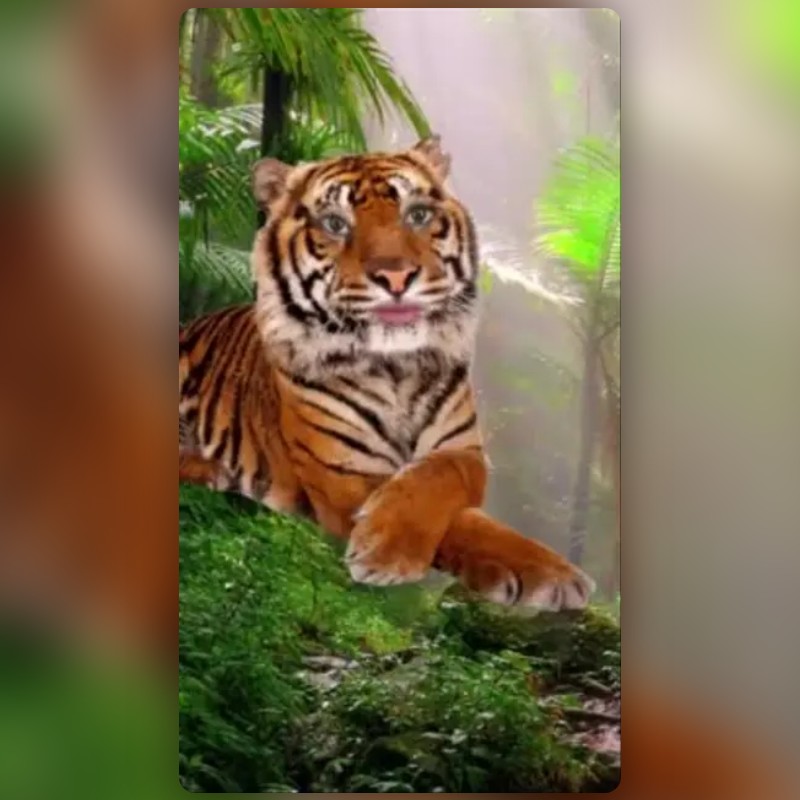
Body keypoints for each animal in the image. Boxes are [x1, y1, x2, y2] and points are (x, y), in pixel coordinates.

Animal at [179, 135, 595, 610]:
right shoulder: (345, 476)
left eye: (417, 215)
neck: (397, 368)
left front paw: (555, 570)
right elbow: (460, 524)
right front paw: (387, 552)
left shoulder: (465, 453)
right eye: (335, 223)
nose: (396, 277)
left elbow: (437, 480)